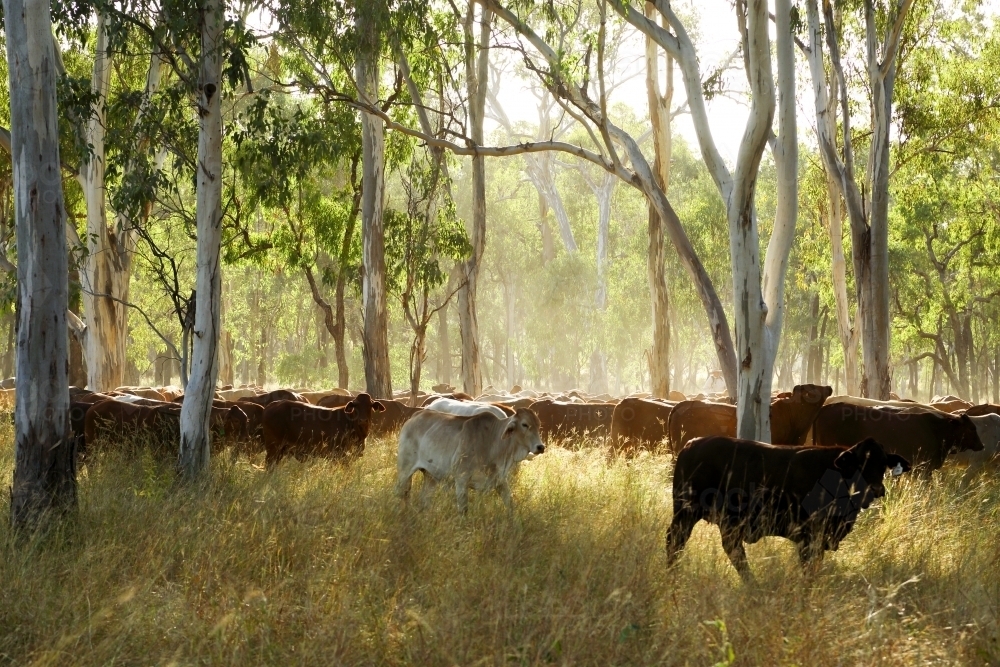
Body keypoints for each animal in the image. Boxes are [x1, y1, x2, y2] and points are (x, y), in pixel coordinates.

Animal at [395, 408, 545, 513]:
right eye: (525, 424)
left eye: (538, 425)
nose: (541, 447)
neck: (492, 441)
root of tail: (415, 415)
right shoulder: (461, 480)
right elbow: (463, 510)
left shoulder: (501, 481)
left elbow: (510, 506)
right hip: (404, 470)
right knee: (401, 494)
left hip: (431, 476)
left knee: (425, 499)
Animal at [666, 436, 911, 581]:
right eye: (860, 464)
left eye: (883, 464)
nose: (876, 489)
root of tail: (691, 444)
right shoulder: (809, 537)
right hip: (686, 513)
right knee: (675, 541)